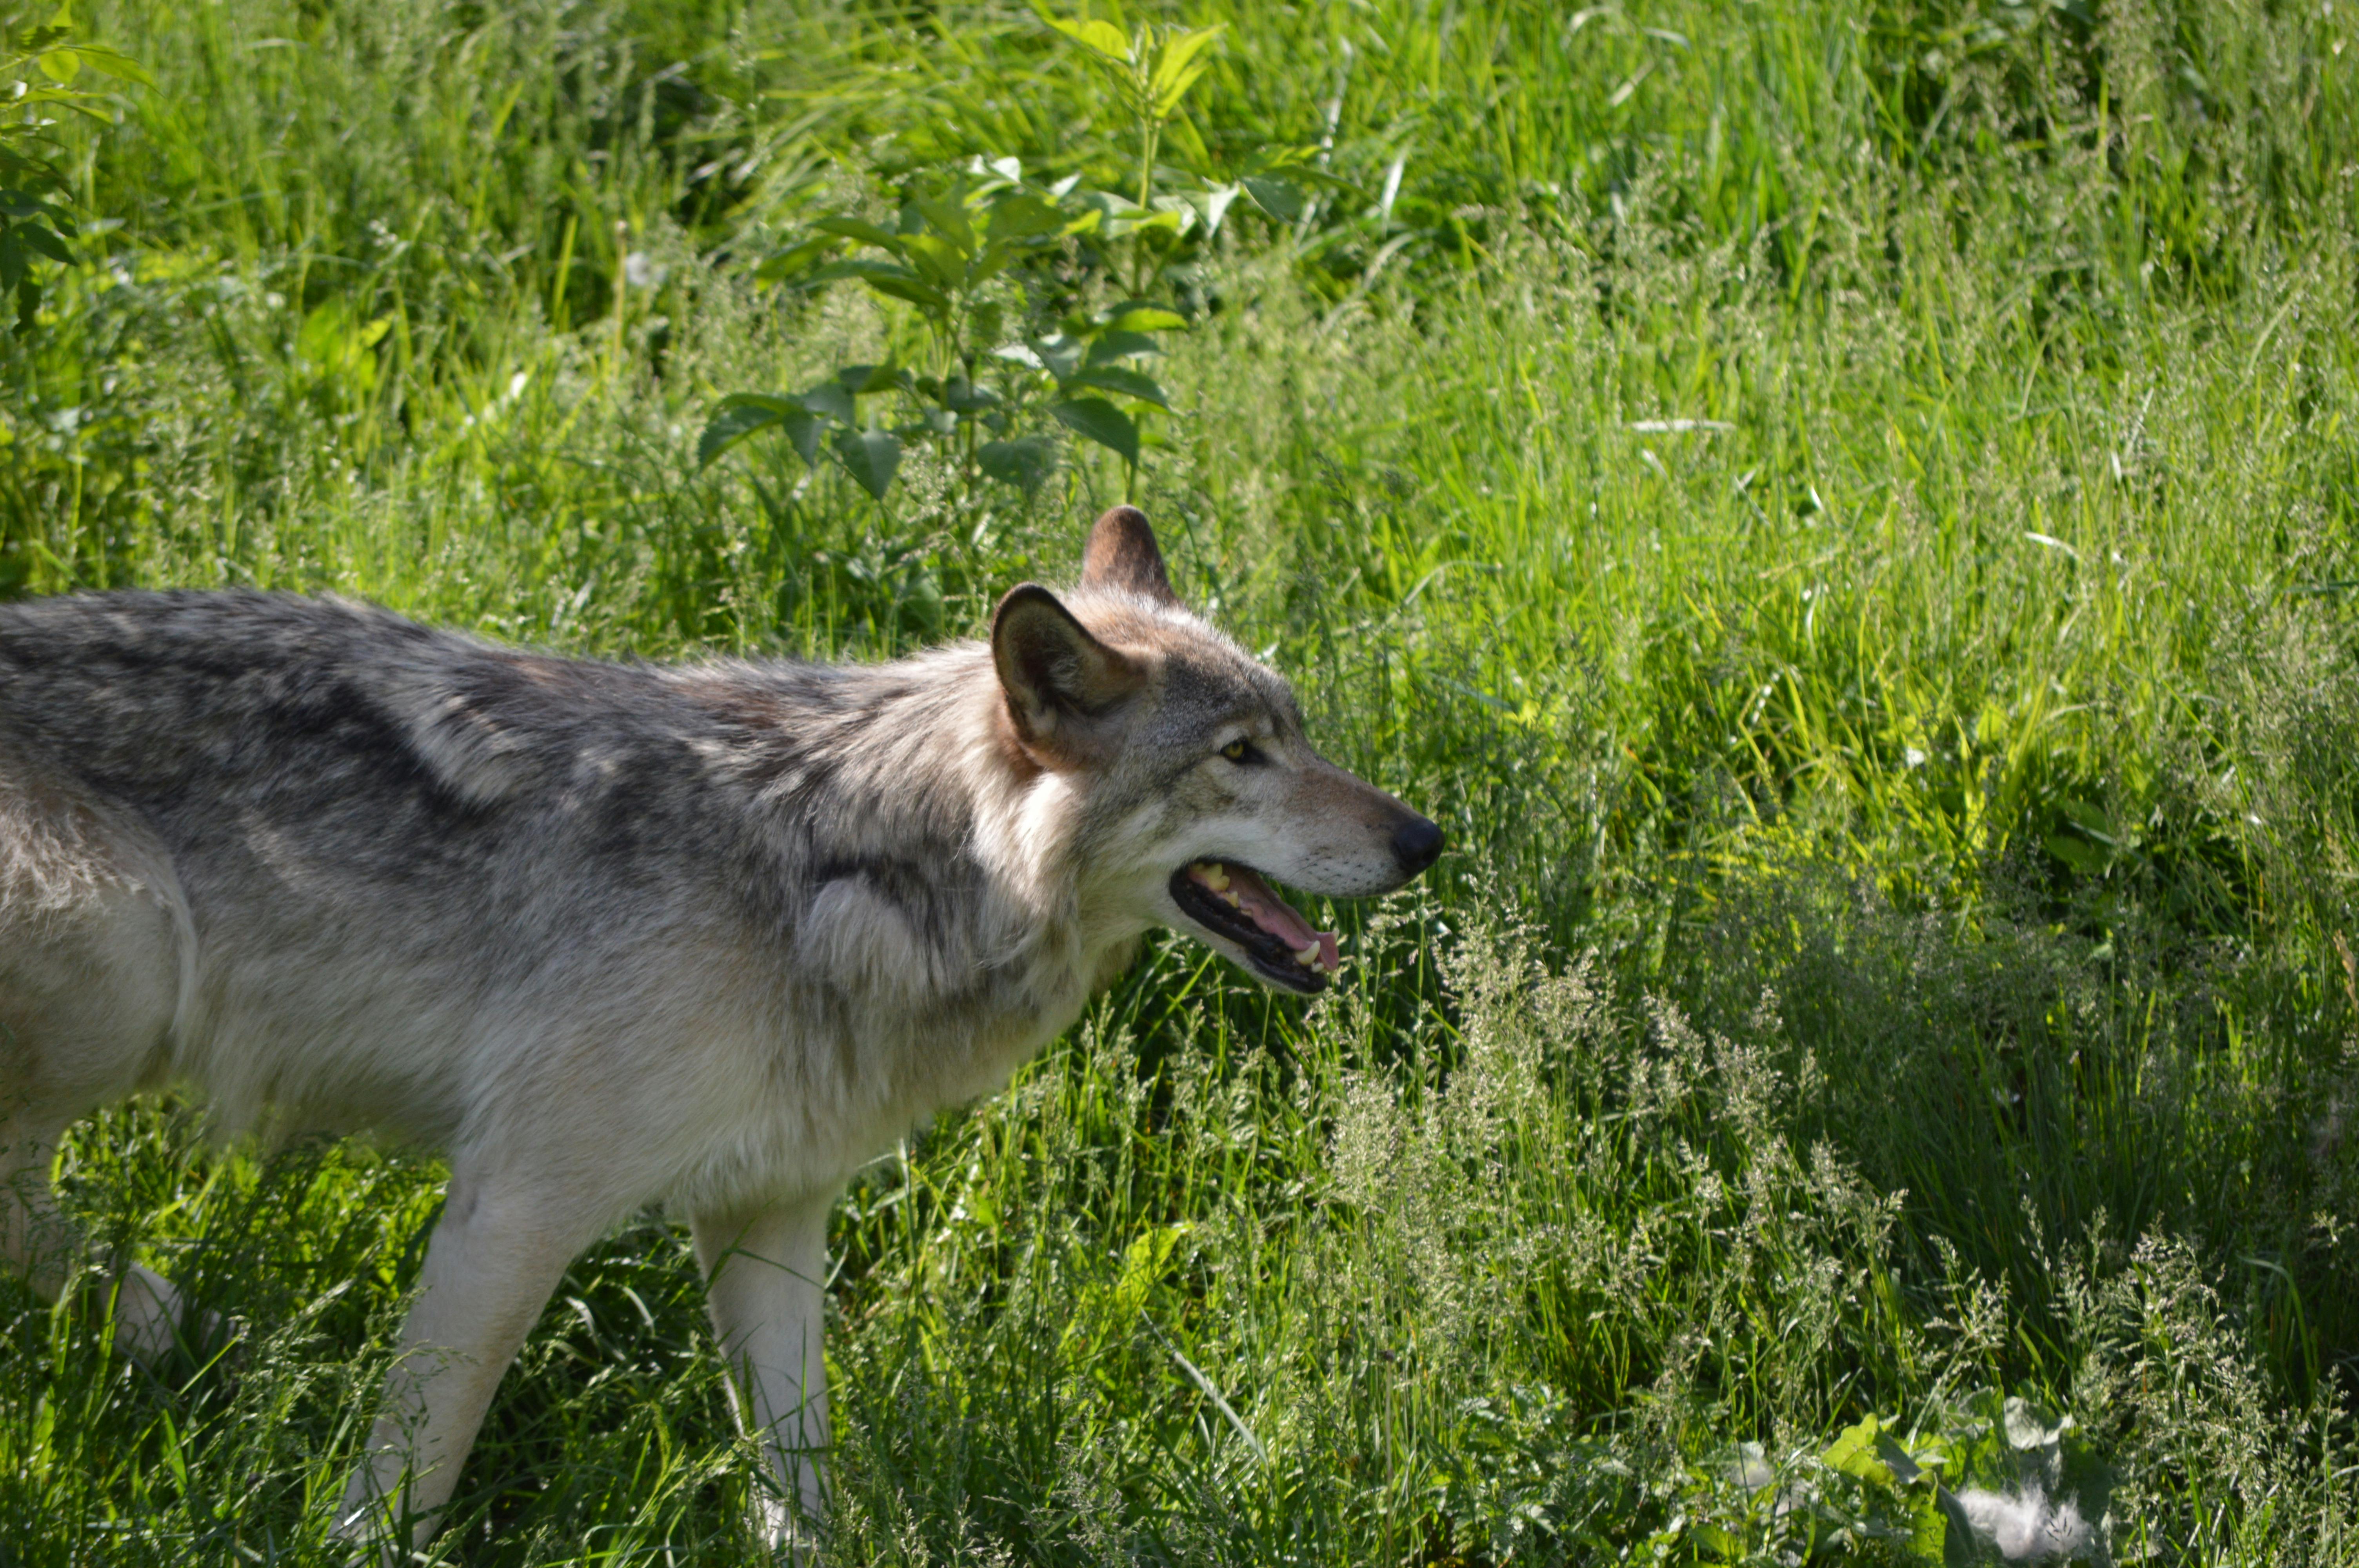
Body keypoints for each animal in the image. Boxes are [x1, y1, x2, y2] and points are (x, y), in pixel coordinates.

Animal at [0, 506, 1441, 1549]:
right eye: (1240, 756)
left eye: (1299, 731)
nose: (1424, 839)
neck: (846, 875)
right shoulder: (516, 1204)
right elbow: (420, 1456)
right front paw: (357, 1542)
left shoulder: (770, 1214)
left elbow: (797, 1469)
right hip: (136, 957)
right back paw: (173, 1324)